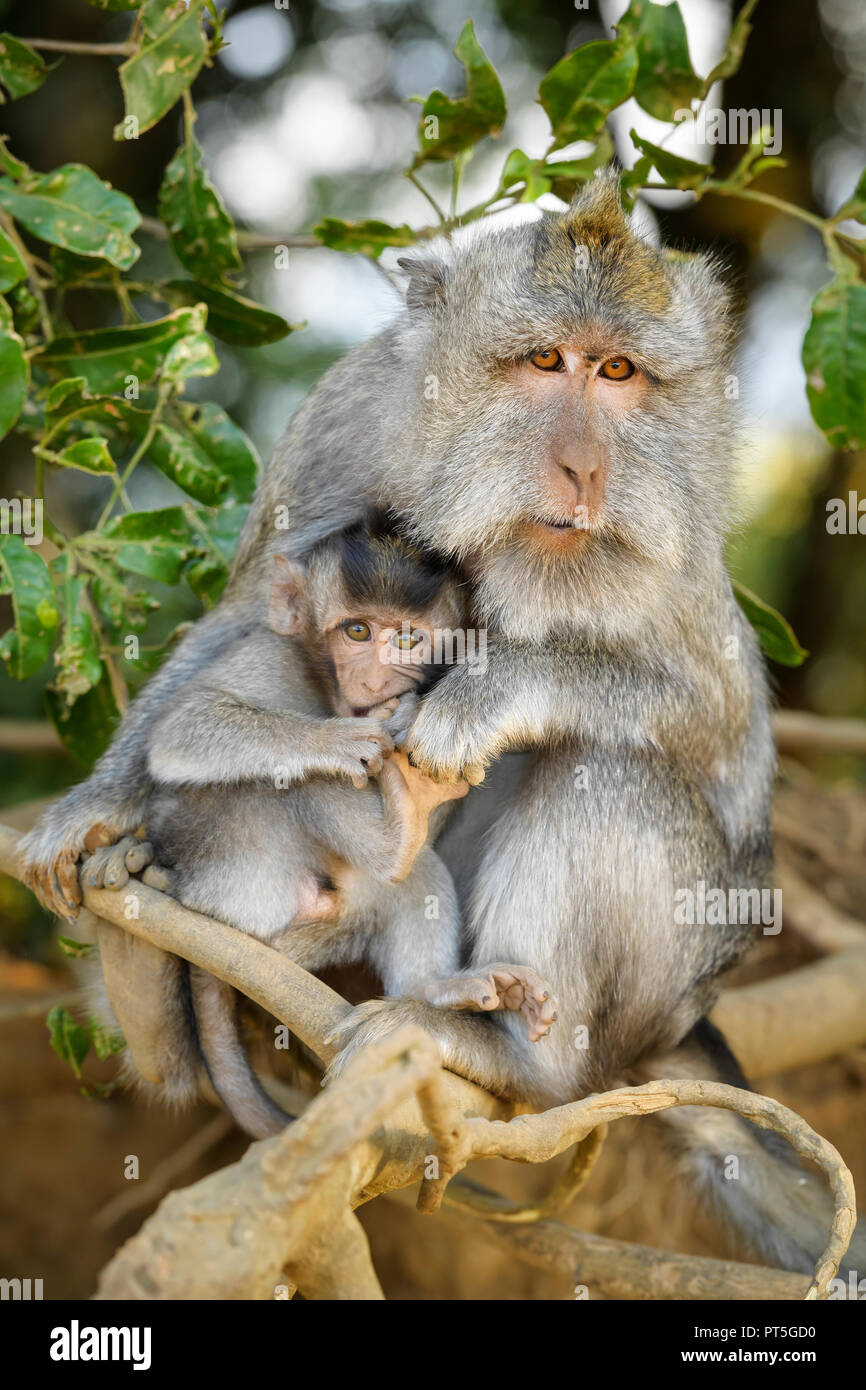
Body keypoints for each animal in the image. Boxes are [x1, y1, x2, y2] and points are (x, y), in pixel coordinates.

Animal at [78, 518, 557, 1138]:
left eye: (408, 639)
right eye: (356, 631)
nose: (373, 679)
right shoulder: (270, 652)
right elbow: (185, 724)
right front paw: (334, 740)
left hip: (331, 917)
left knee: (409, 880)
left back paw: (436, 988)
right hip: (235, 862)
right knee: (292, 782)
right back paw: (396, 830)